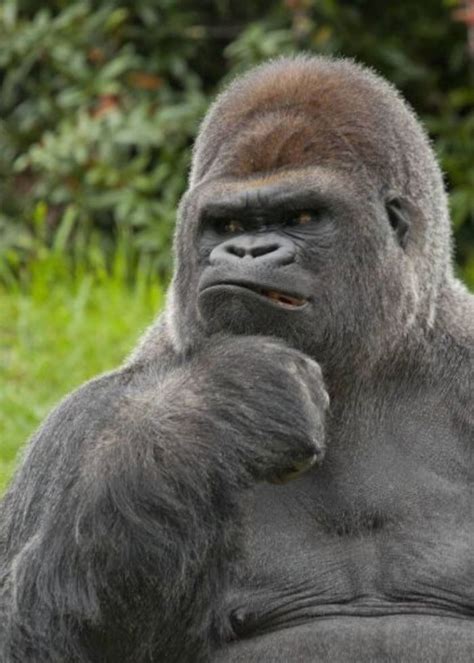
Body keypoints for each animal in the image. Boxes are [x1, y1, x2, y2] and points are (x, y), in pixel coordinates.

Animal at [1, 54, 473, 663]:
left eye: (302, 217)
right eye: (226, 225)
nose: (247, 251)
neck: (364, 374)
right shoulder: (83, 421)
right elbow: (24, 631)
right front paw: (219, 409)